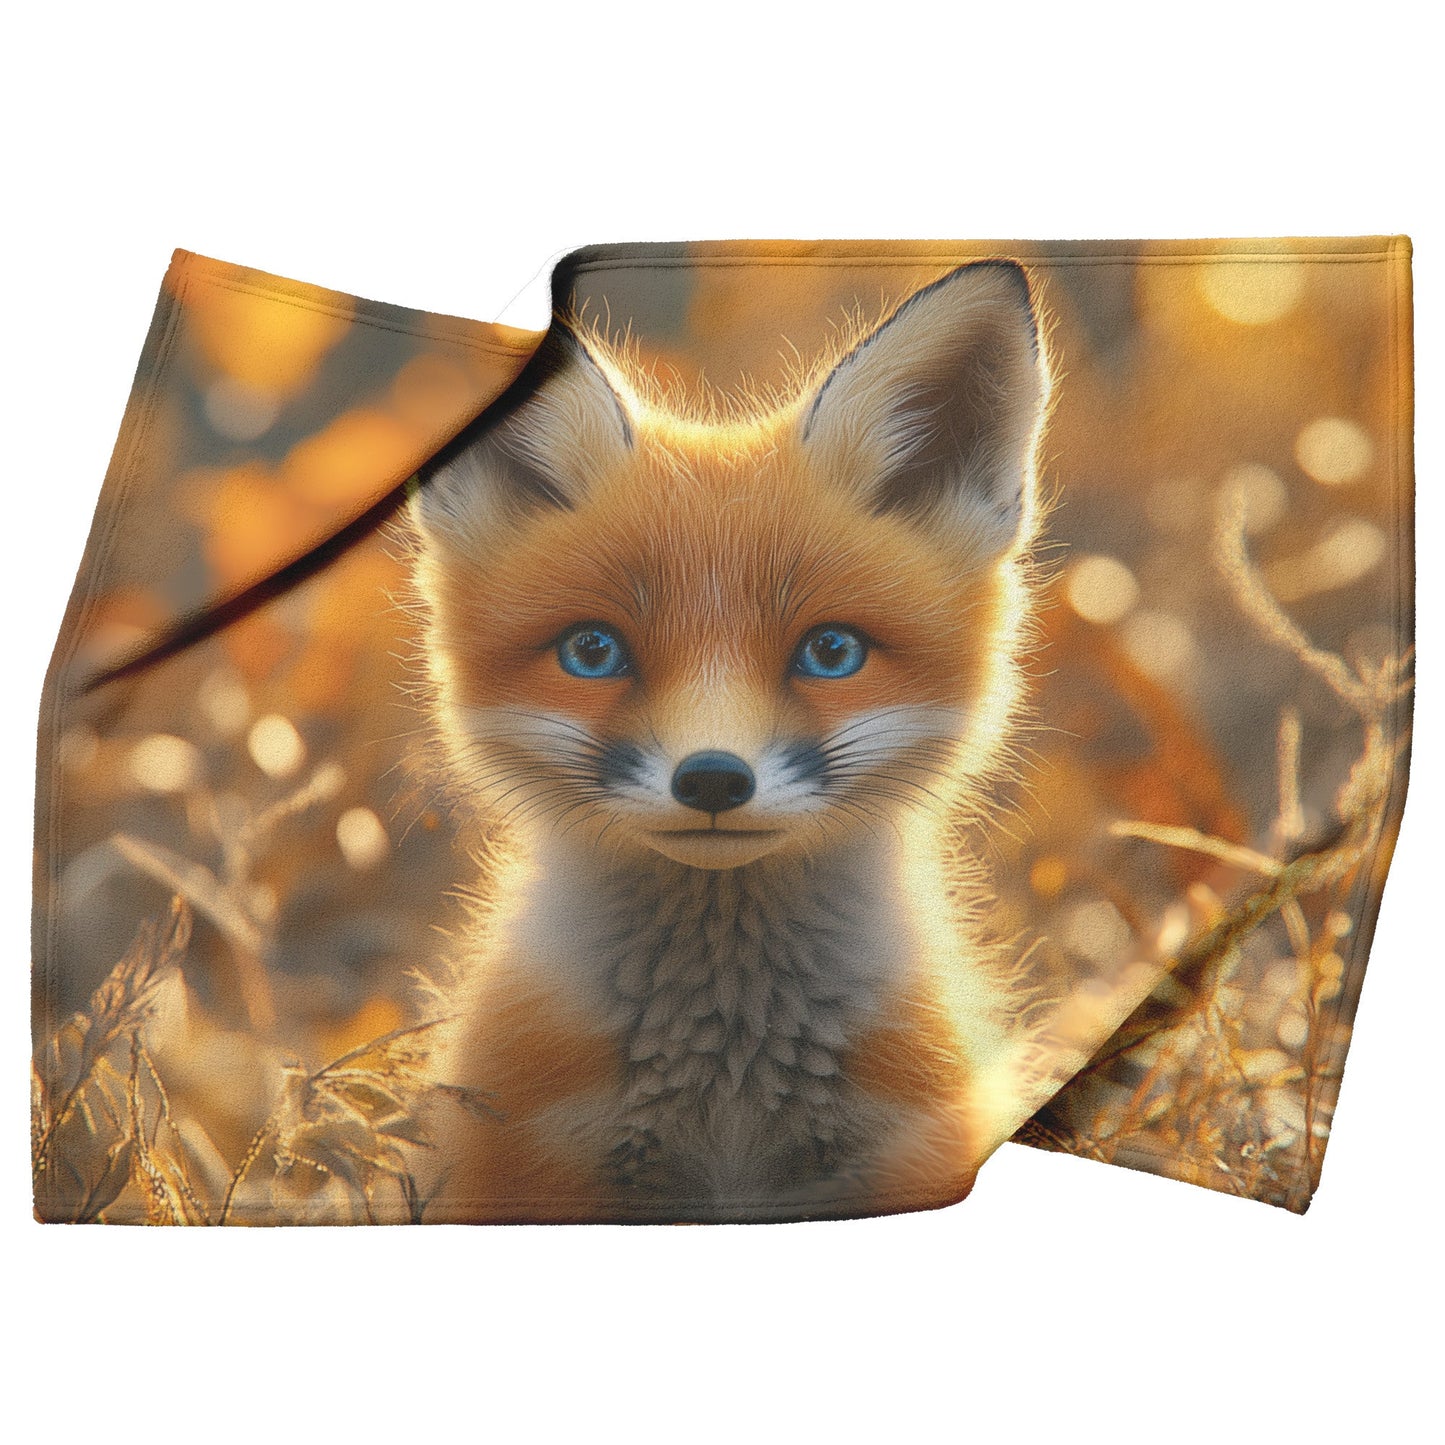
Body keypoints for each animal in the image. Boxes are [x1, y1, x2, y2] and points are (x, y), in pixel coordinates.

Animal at [406, 259, 1051, 1222]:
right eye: (593, 652)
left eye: (830, 652)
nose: (711, 779)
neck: (727, 1073)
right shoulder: (525, 1165)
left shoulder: (898, 1146)